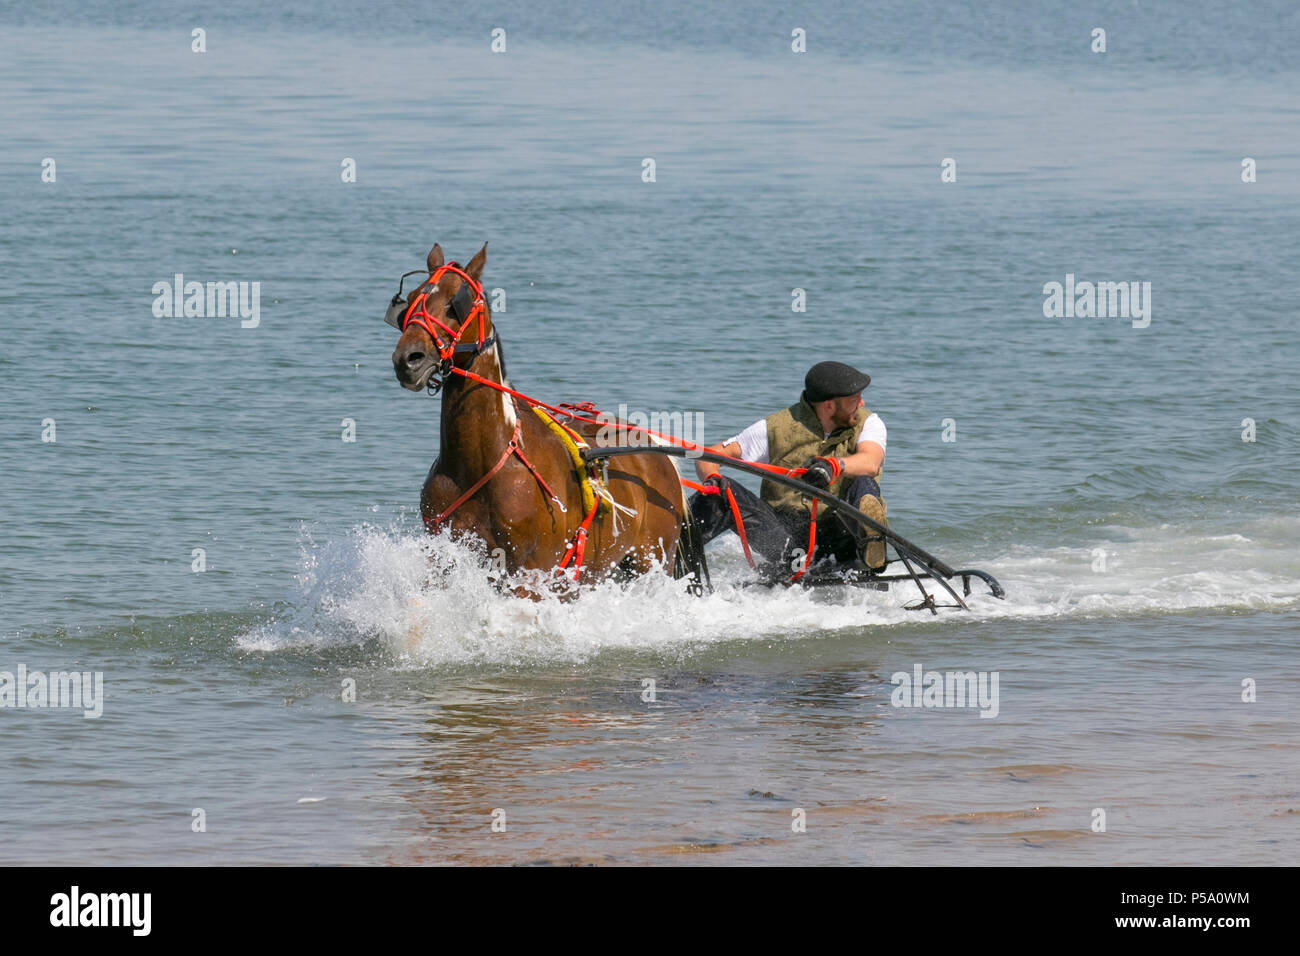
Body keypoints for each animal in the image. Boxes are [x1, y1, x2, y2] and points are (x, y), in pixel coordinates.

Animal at [389, 242, 688, 587]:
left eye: (455, 304)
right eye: (411, 299)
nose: (408, 359)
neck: (481, 463)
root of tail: (659, 455)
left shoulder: (531, 577)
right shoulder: (444, 560)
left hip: (650, 564)